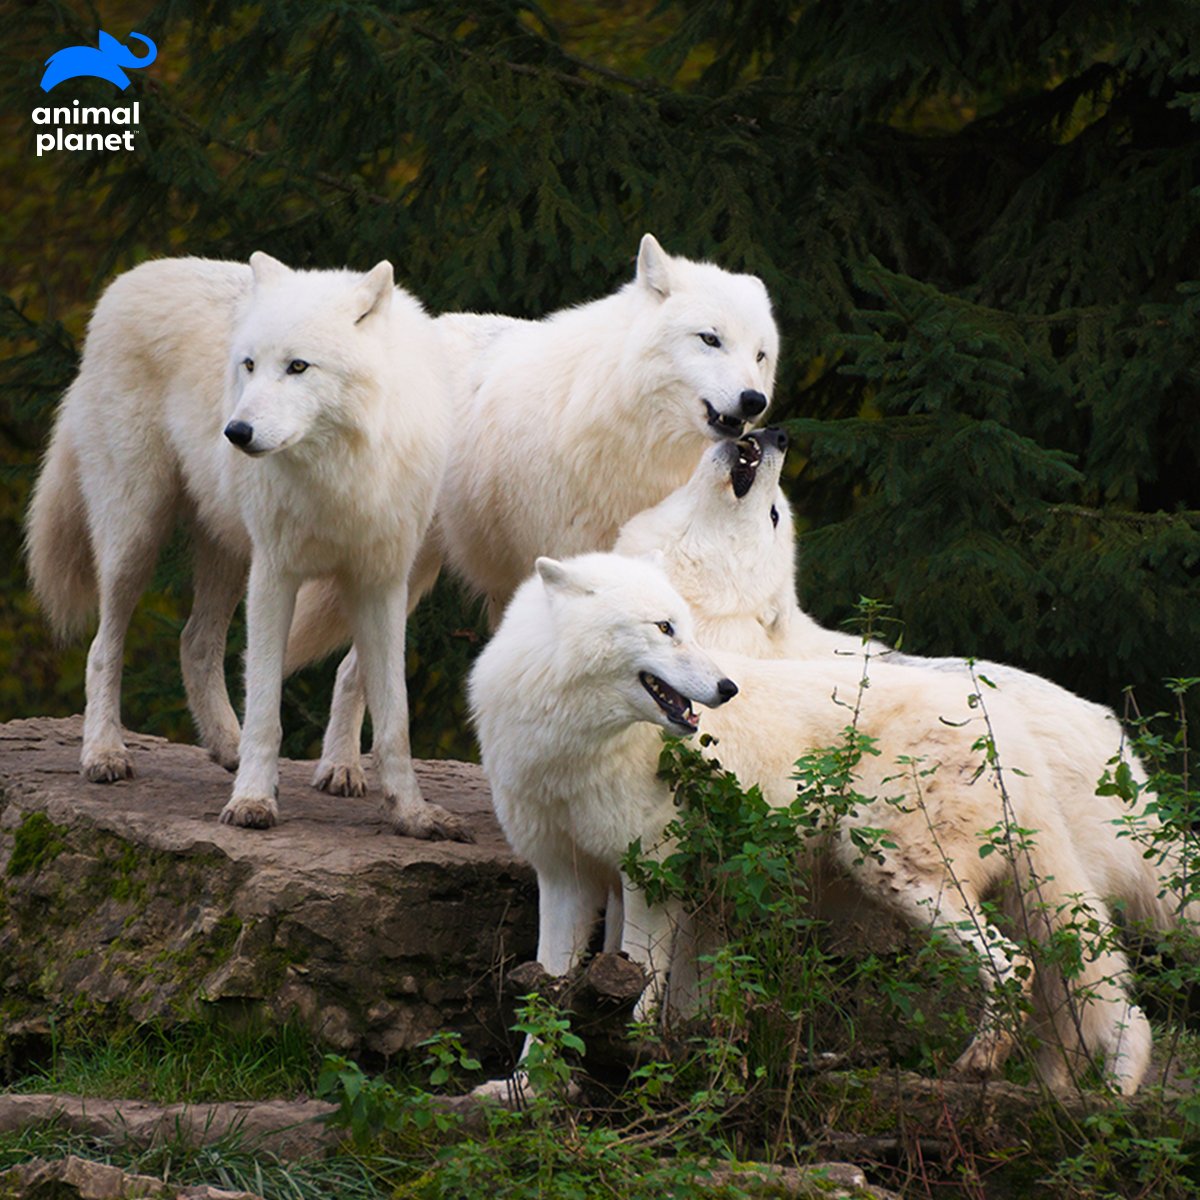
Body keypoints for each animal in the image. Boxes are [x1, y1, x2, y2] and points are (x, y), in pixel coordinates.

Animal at [25, 252, 467, 840]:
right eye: (250, 365)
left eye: (298, 367)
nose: (234, 431)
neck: (336, 472)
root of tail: (128, 279)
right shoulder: (276, 575)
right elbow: (264, 708)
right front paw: (253, 800)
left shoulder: (382, 582)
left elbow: (394, 716)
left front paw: (412, 813)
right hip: (135, 537)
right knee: (104, 647)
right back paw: (104, 753)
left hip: (227, 553)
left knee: (193, 641)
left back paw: (226, 748)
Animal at [287, 233, 780, 797]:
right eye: (710, 339)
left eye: (760, 354)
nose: (753, 400)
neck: (641, 446)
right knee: (355, 668)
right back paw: (339, 767)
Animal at [470, 551, 1194, 1095]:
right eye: (665, 628)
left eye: (686, 626)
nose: (727, 689)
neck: (573, 744)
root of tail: (1005, 729)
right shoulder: (570, 877)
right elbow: (550, 995)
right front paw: (527, 1090)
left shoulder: (655, 878)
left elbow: (640, 992)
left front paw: (636, 1075)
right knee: (1064, 990)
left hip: (898, 871)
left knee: (1016, 968)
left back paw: (979, 1068)